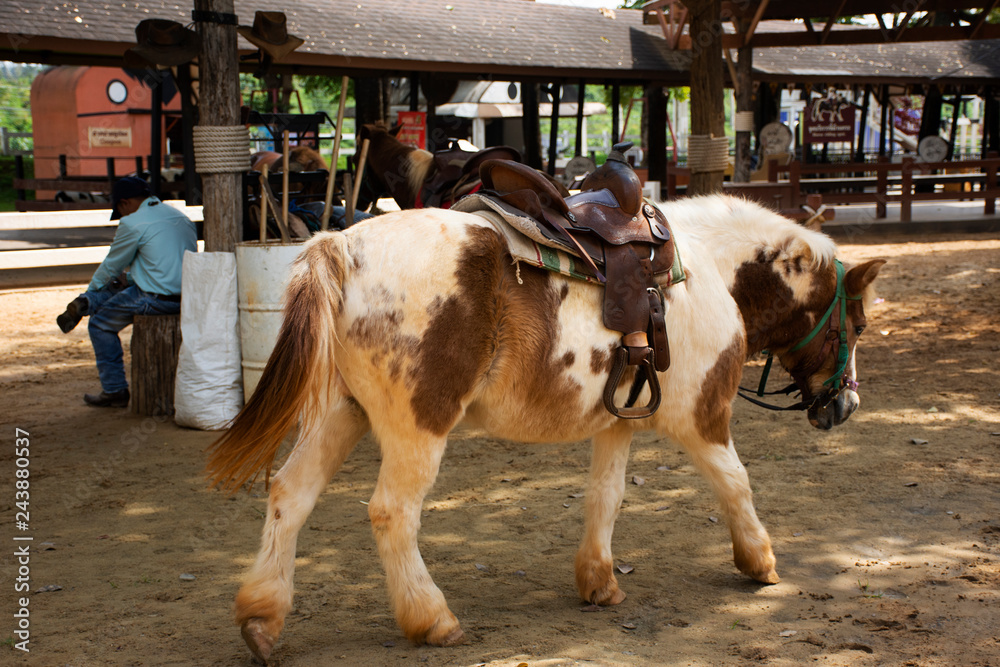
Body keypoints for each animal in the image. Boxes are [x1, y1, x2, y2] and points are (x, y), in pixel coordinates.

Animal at [207, 194, 885, 663]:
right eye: (856, 324)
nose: (846, 406)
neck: (710, 270)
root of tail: (340, 248)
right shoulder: (703, 417)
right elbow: (735, 482)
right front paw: (759, 562)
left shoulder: (618, 424)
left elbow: (605, 498)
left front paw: (600, 583)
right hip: (417, 428)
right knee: (392, 513)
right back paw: (432, 619)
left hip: (340, 415)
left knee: (289, 495)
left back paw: (262, 618)